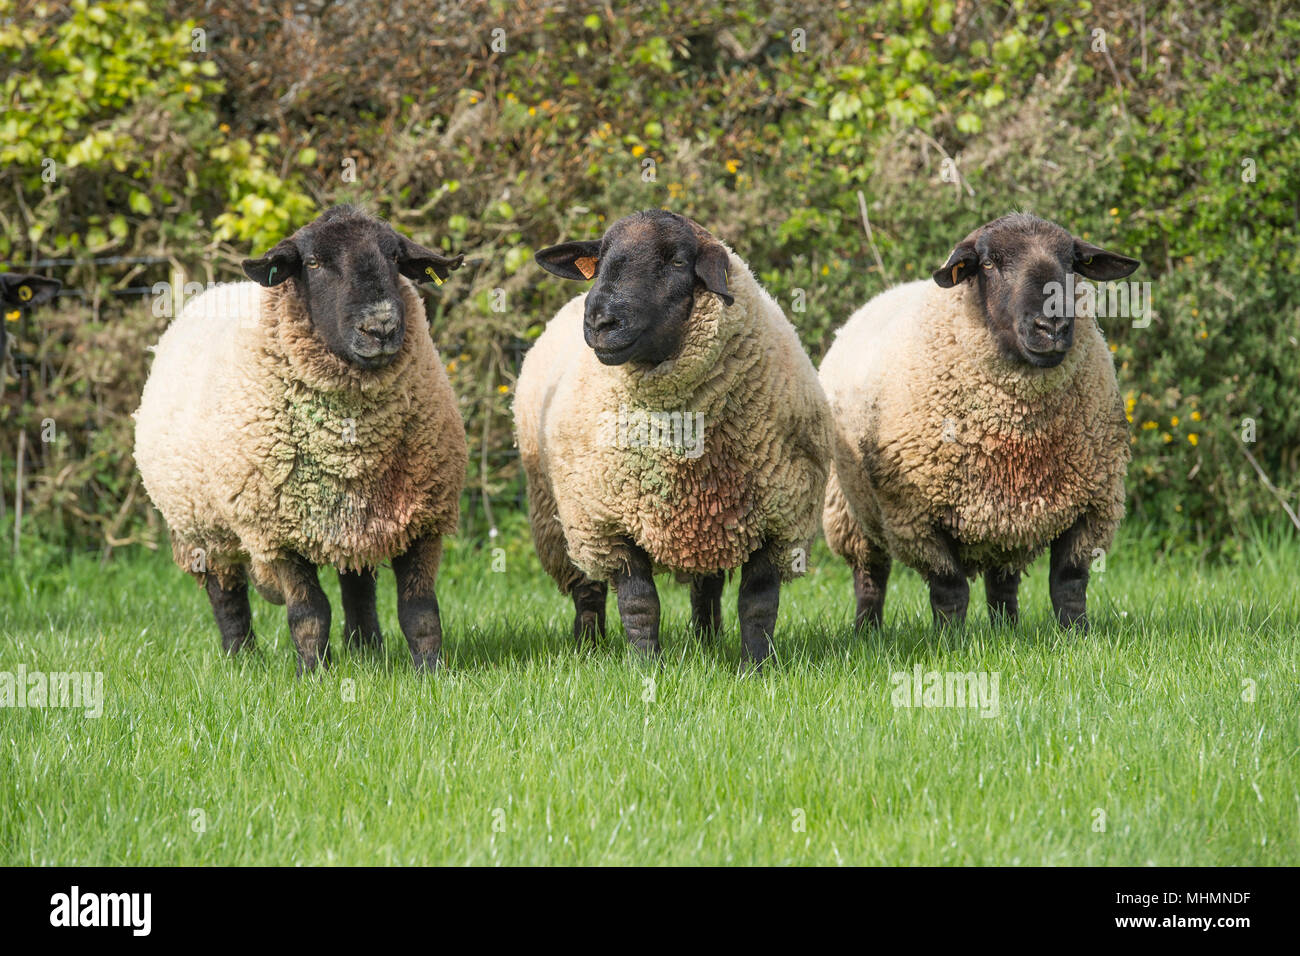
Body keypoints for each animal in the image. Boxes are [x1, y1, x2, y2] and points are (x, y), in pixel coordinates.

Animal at [134, 208, 470, 671]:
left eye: (395, 257)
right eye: (312, 263)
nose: (380, 327)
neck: (352, 445)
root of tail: (214, 291)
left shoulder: (422, 517)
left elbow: (419, 609)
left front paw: (431, 673)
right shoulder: (278, 530)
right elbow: (309, 614)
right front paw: (312, 675)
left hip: (352, 519)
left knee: (356, 585)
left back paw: (366, 649)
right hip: (200, 525)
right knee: (226, 594)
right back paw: (241, 658)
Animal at [512, 212, 826, 671]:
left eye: (677, 261)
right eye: (600, 257)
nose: (600, 321)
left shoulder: (780, 520)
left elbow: (758, 605)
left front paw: (757, 667)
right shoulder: (611, 522)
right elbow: (640, 604)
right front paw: (647, 667)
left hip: (709, 521)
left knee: (706, 587)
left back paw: (707, 642)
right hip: (566, 515)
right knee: (587, 589)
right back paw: (588, 647)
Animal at [821, 217, 1138, 634]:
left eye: (1072, 262)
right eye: (988, 263)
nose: (1051, 326)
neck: (1018, 435)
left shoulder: (1093, 507)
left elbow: (1068, 582)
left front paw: (1077, 635)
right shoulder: (916, 517)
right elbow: (949, 589)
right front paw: (949, 640)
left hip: (1007, 520)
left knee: (1002, 581)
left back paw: (1008, 630)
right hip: (848, 509)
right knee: (870, 575)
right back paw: (866, 632)